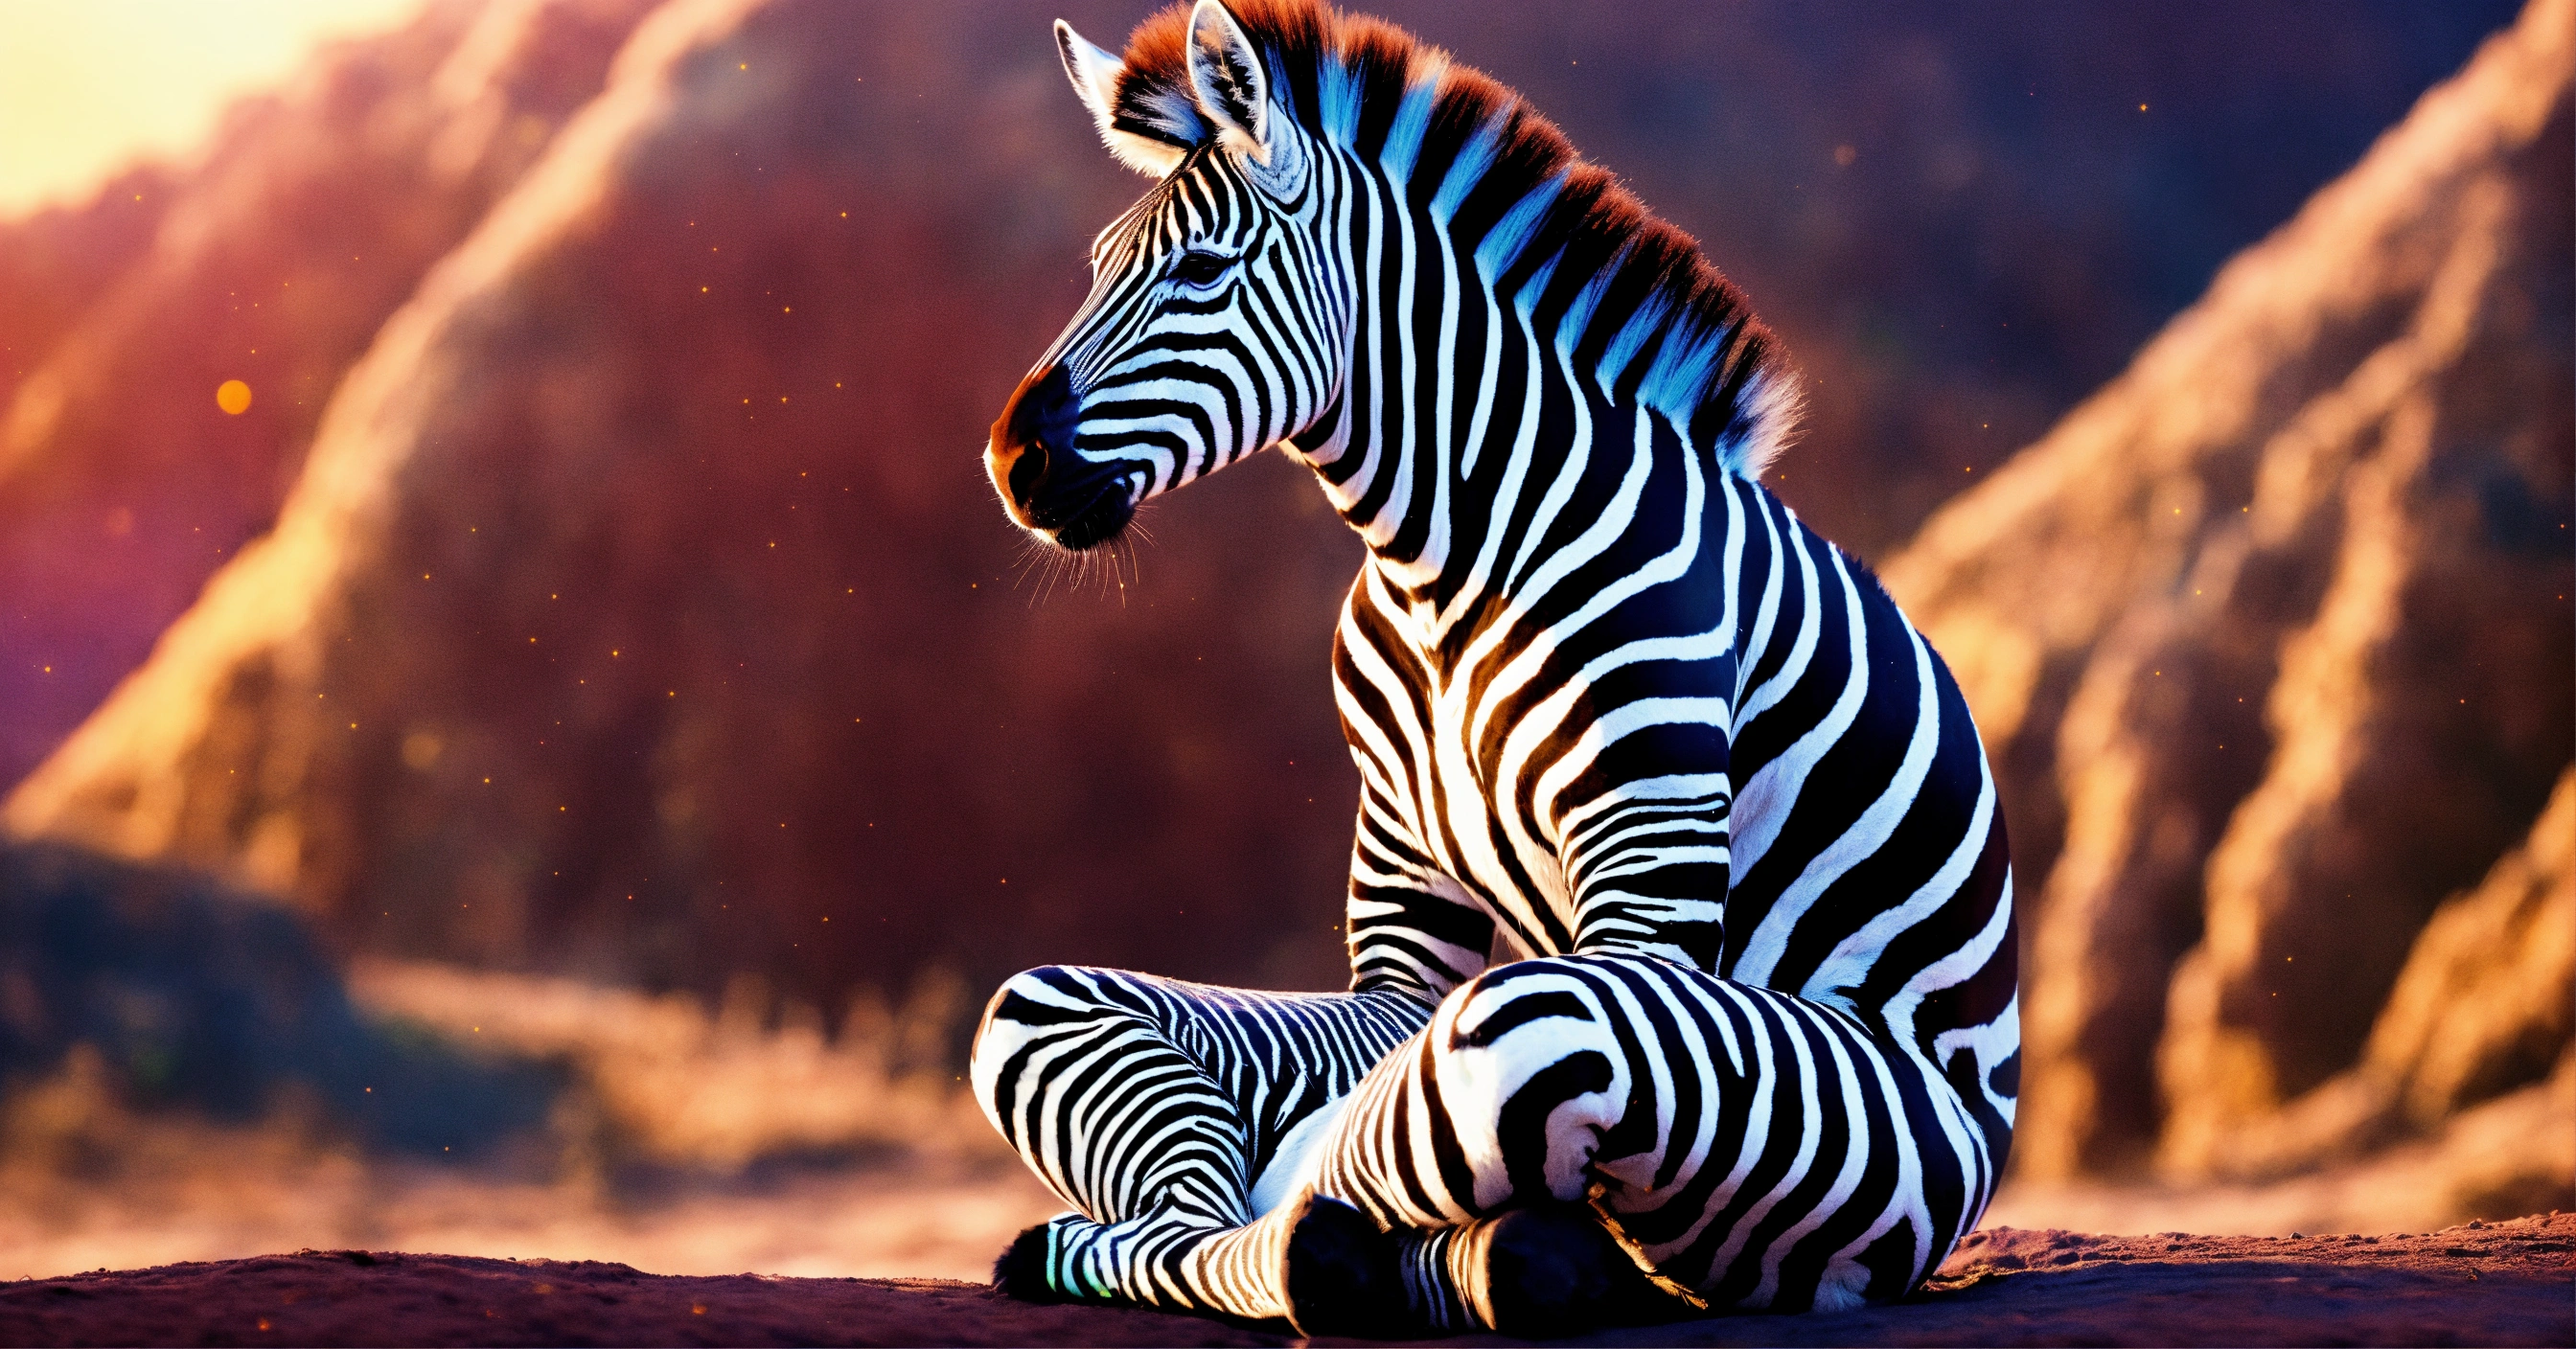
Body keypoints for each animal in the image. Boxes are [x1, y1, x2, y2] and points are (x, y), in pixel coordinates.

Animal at [968, 0, 2018, 1335]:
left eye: (1201, 273)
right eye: (1101, 268)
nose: (1014, 464)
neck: (1445, 566)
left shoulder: (1652, 894)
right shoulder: (1401, 943)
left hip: (1773, 1120)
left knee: (1398, 1159)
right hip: (1076, 1011)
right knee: (1179, 1140)